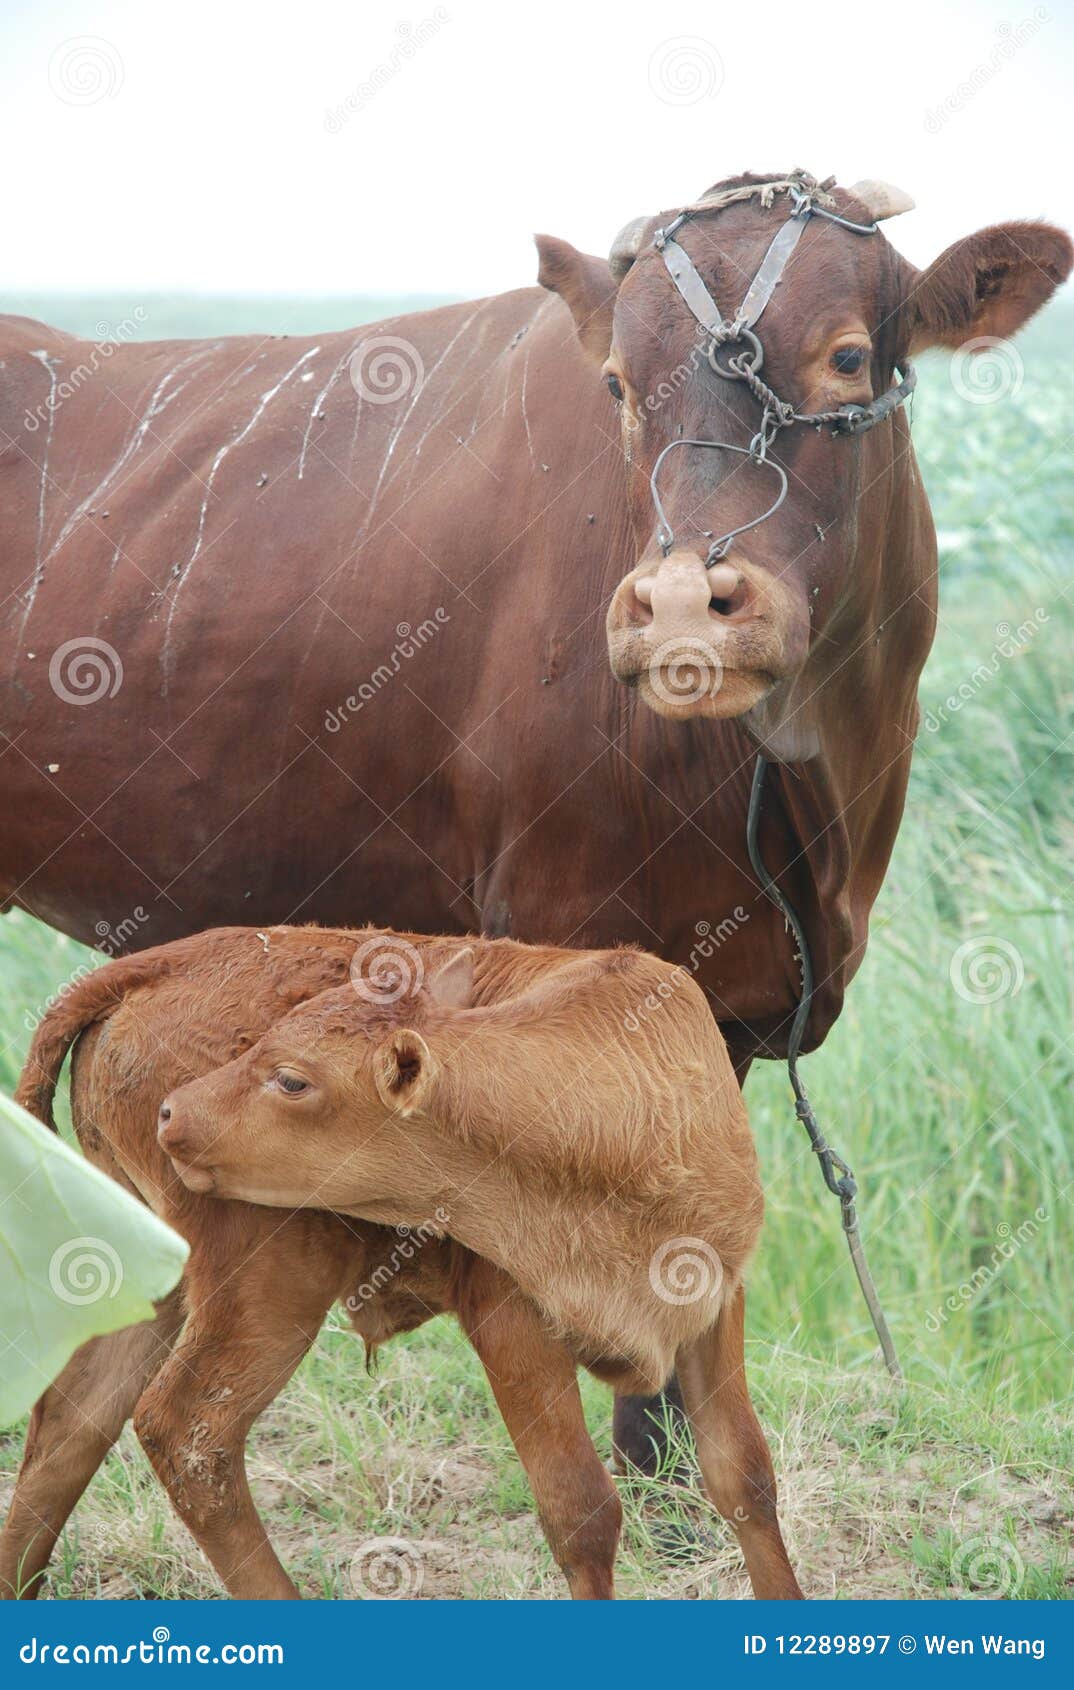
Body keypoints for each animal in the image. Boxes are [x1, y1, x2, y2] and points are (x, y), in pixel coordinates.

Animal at [2, 924, 802, 1601]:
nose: (174, 1112)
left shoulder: (715, 1301)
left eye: (292, 1078)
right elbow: (580, 1508)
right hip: (265, 1294)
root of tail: (155, 965)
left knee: (73, 1423)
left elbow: (743, 1477)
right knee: (188, 1432)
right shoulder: (510, 1320)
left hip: (163, 1279)